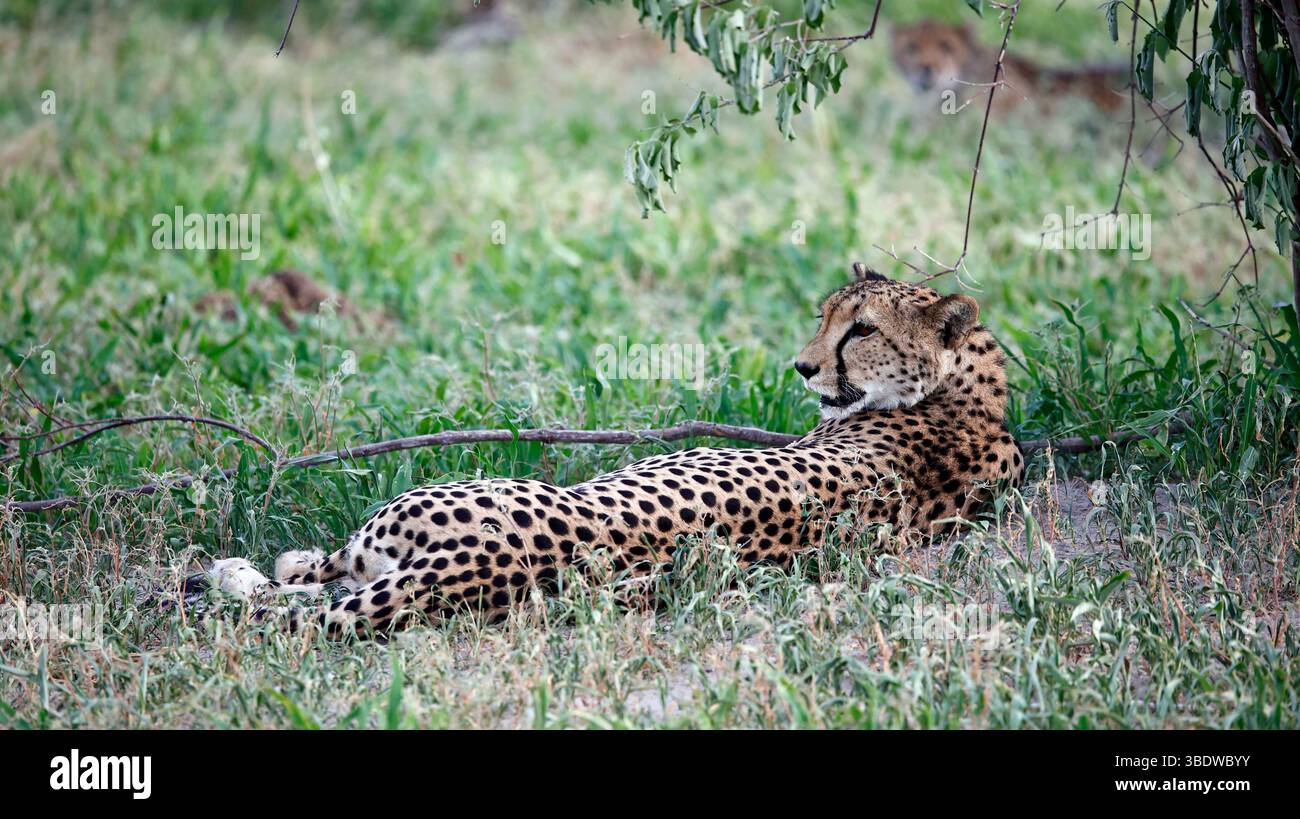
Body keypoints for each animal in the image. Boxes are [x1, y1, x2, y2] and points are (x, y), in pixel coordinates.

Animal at [198, 264, 1025, 637]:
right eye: (824, 317)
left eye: (862, 330)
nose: (803, 367)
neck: (964, 394)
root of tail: (495, 560)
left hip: (406, 526)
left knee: (301, 588)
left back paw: (244, 568)